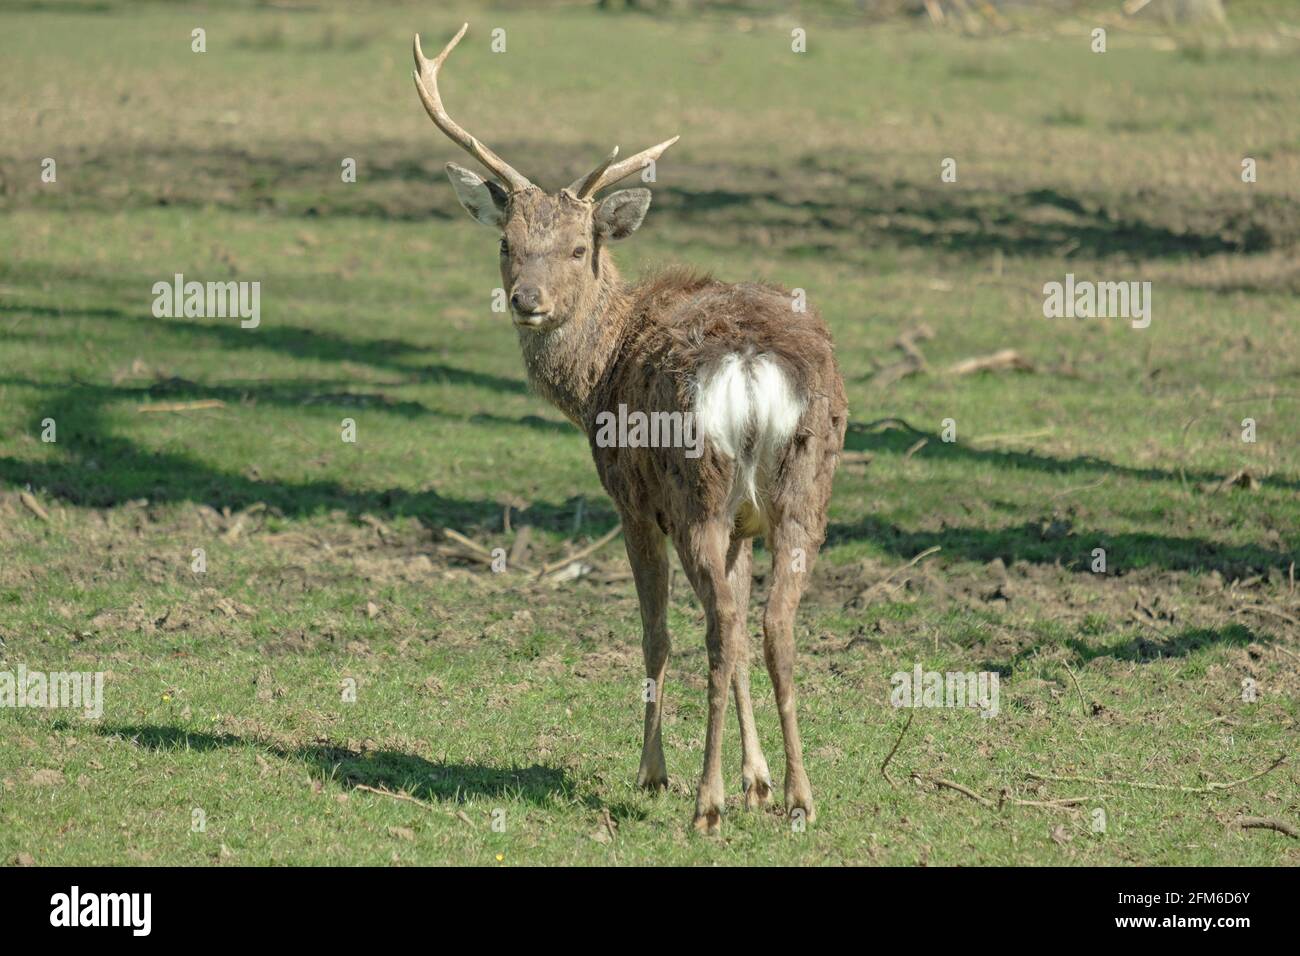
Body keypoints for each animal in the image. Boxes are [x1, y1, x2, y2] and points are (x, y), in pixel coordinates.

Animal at [413, 24, 847, 834]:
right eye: (506, 243)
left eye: (580, 248)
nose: (527, 299)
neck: (597, 373)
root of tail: (752, 367)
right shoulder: (745, 525)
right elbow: (744, 638)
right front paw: (758, 781)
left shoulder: (630, 500)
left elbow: (655, 633)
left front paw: (654, 773)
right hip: (805, 489)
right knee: (771, 625)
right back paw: (800, 797)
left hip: (695, 487)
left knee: (717, 629)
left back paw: (705, 803)